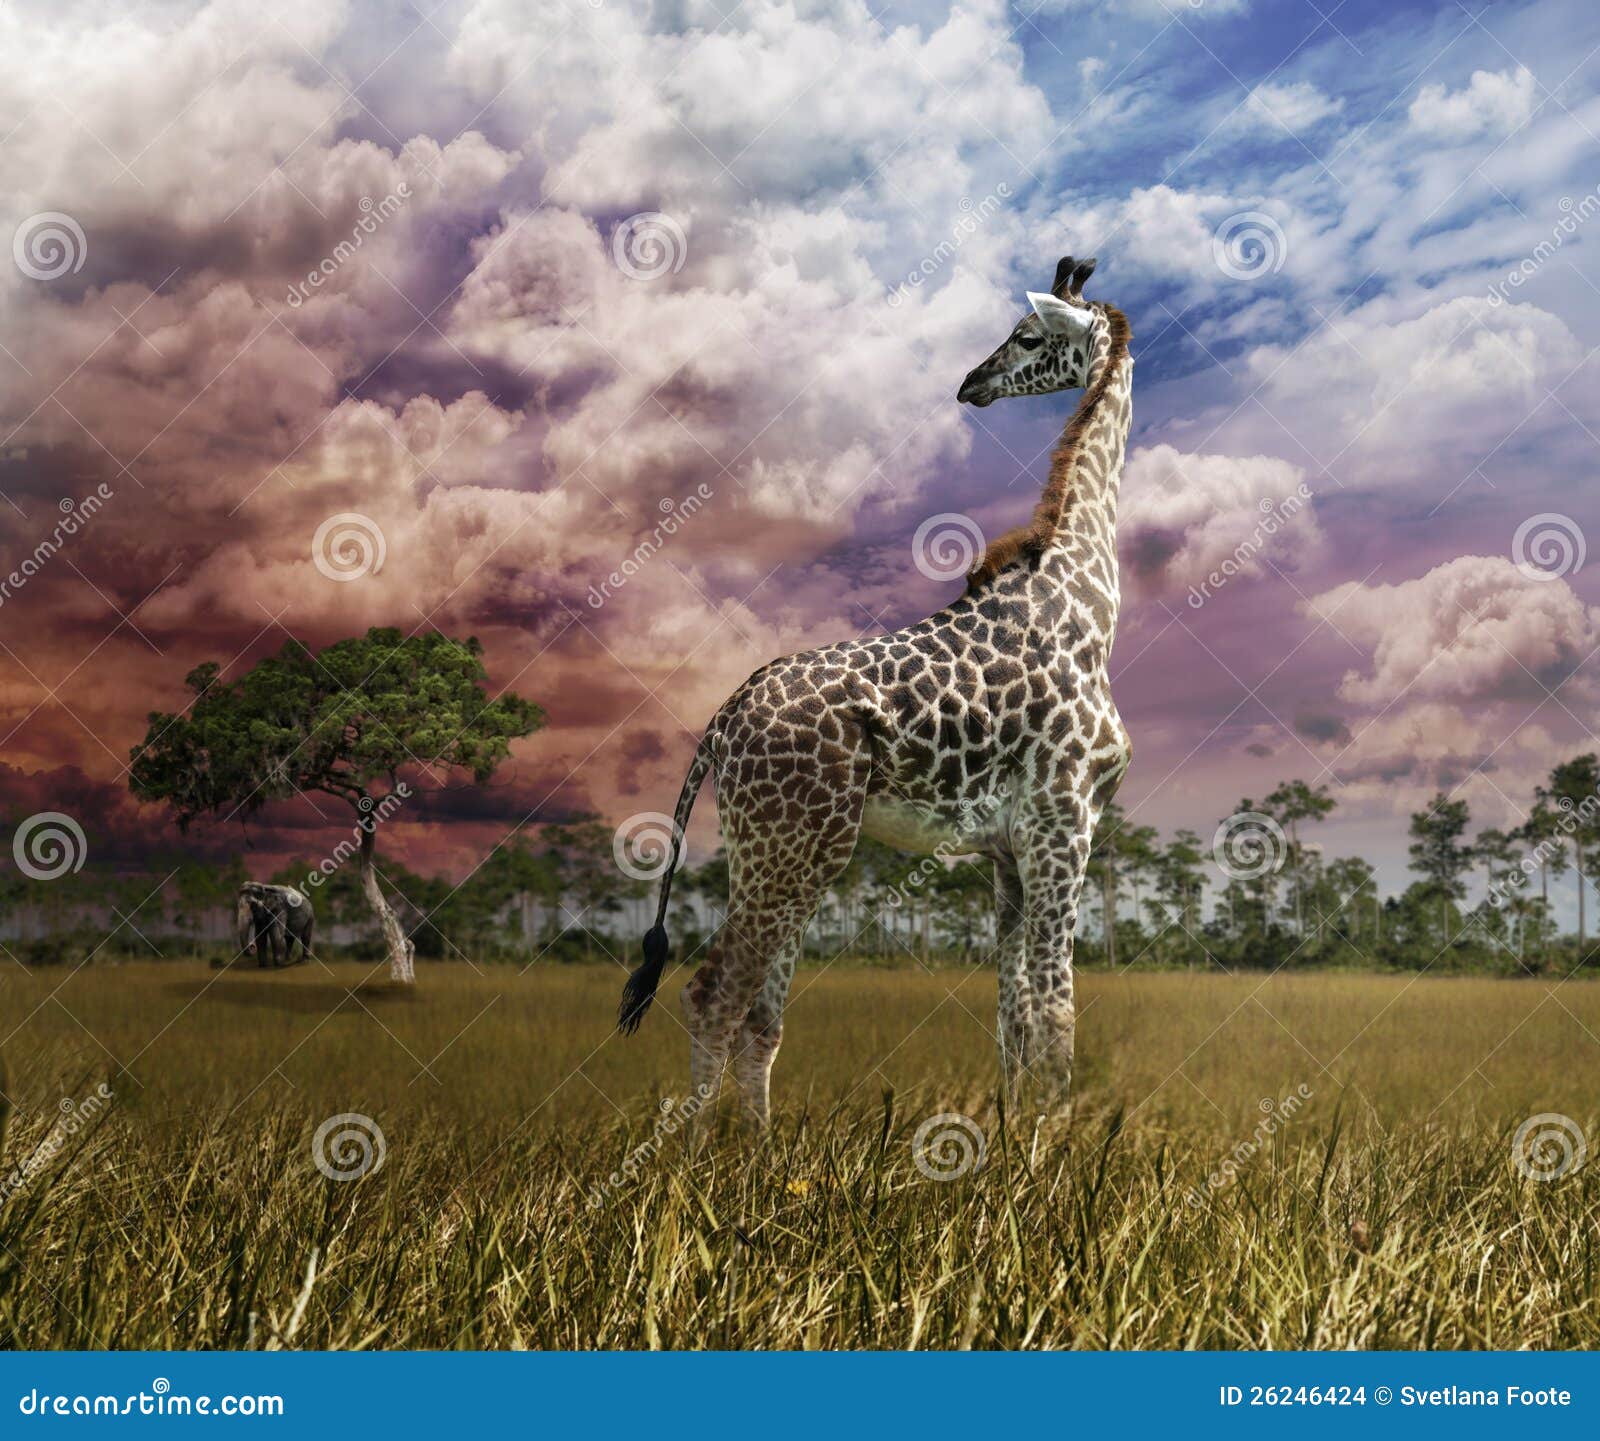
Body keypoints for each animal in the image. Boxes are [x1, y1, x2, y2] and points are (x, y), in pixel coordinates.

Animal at [619, 255, 1134, 1132]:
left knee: (760, 1013)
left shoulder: (1010, 848)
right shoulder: (1064, 821)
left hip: (770, 850)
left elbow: (1015, 1020)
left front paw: (1017, 1147)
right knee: (713, 992)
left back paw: (757, 1152)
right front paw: (1058, 1158)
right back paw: (695, 1160)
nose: (971, 383)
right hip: (798, 845)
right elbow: (1055, 1017)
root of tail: (722, 720)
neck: (1086, 590)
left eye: (1028, 336)